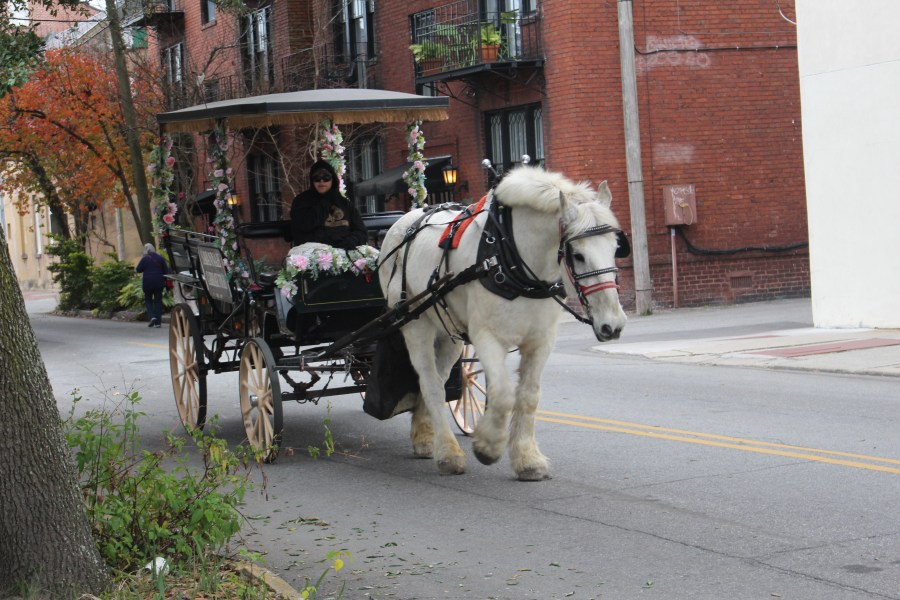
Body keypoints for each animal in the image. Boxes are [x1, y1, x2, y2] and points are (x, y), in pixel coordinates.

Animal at [378, 165, 627, 480]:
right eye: (579, 255)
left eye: (616, 248)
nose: (612, 325)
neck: (511, 259)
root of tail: (400, 224)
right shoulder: (487, 336)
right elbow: (504, 395)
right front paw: (488, 447)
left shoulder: (541, 340)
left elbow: (528, 395)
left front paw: (527, 459)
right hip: (415, 323)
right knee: (430, 382)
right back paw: (448, 453)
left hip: (449, 334)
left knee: (438, 378)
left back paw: (425, 437)